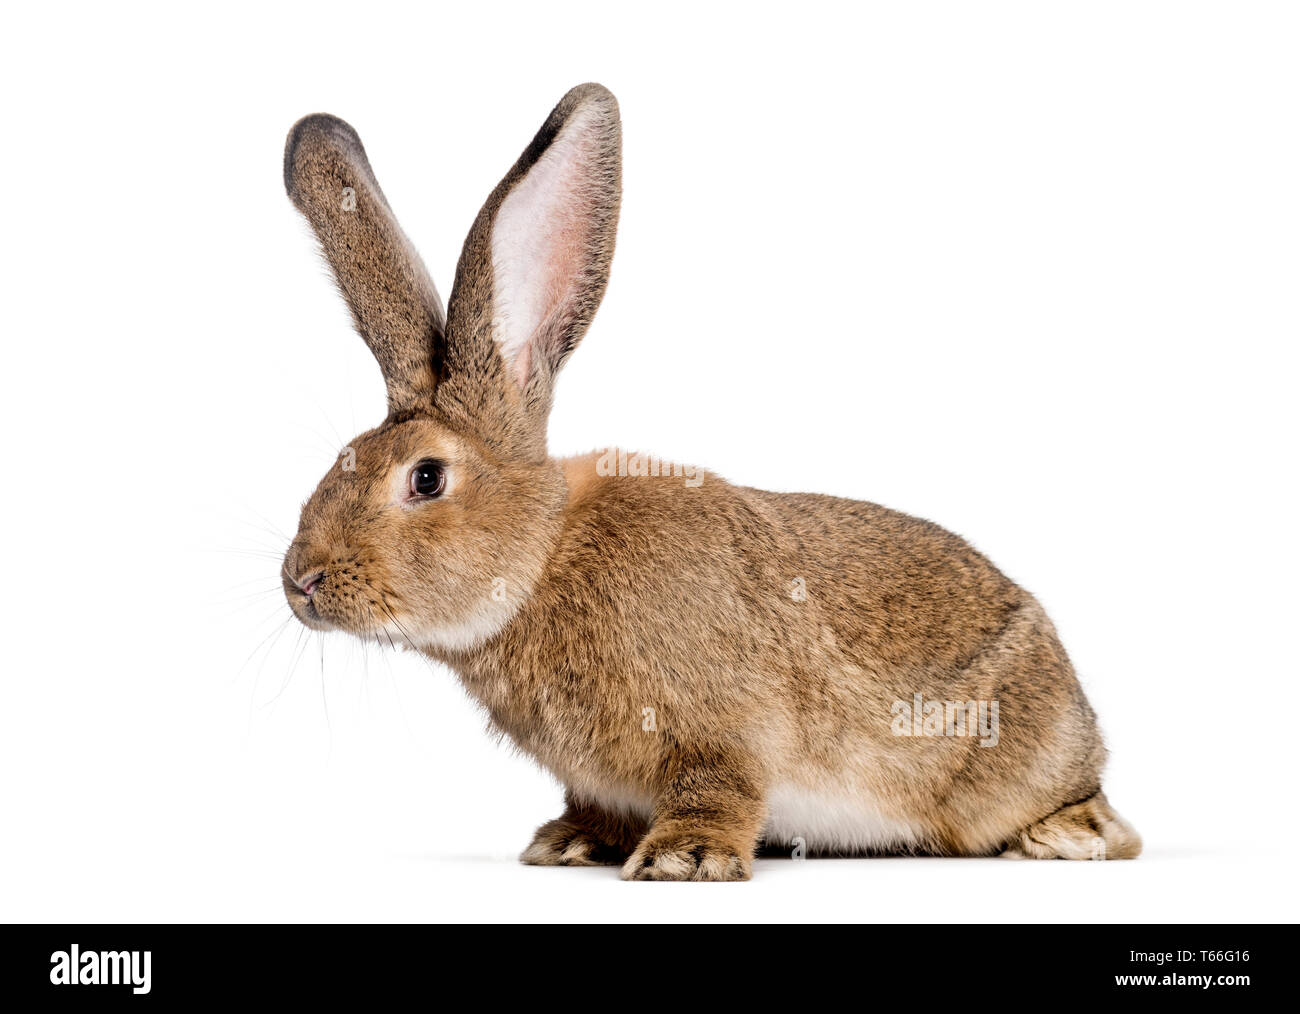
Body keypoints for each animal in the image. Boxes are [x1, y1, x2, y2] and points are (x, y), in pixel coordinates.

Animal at [279, 83, 1140, 880]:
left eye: (425, 478)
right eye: (339, 460)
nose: (302, 581)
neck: (543, 560)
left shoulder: (724, 730)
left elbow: (717, 787)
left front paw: (682, 859)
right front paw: (568, 844)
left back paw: (1069, 836)